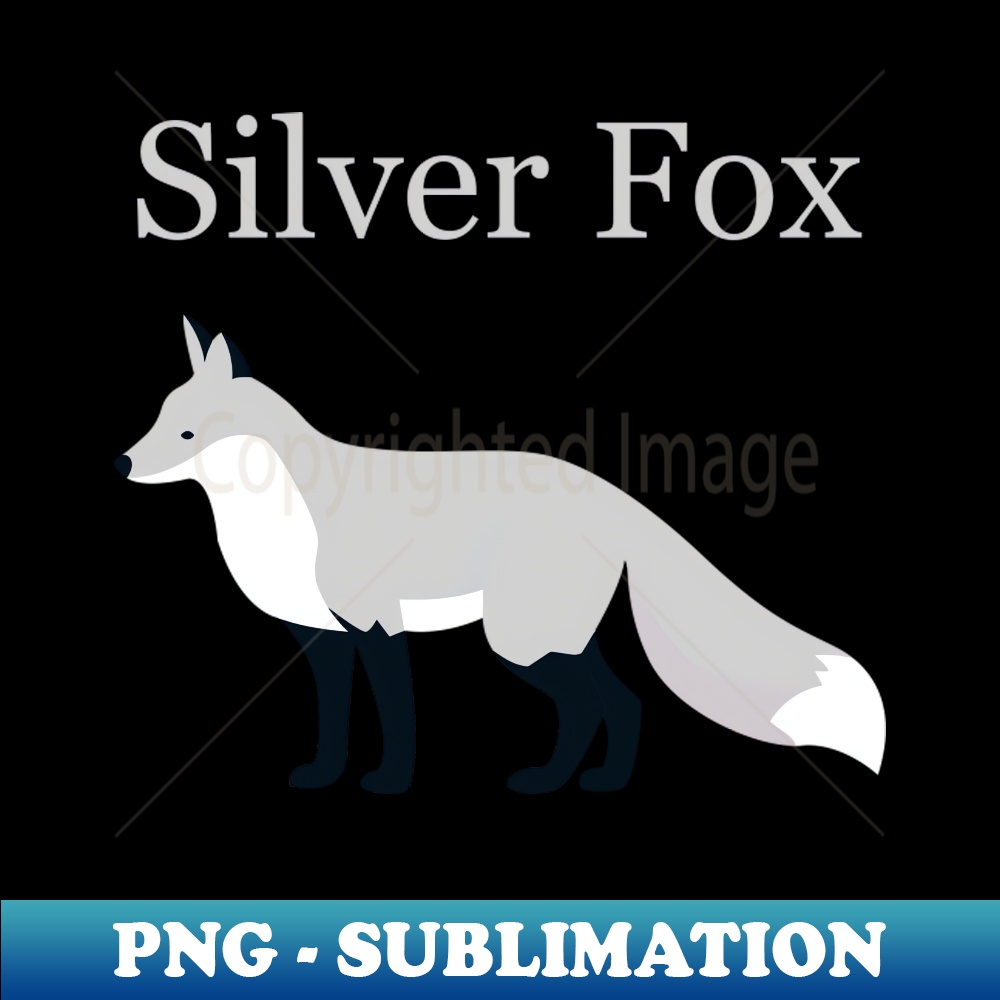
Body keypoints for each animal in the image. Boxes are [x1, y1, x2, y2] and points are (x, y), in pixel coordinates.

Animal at [115, 317, 885, 794]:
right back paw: (595, 782)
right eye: (156, 418)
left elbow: (398, 718)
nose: (121, 463)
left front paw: (390, 783)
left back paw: (553, 782)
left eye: (185, 433)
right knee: (624, 702)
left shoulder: (377, 627)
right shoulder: (320, 641)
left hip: (518, 643)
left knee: (594, 704)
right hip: (553, 638)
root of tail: (610, 492)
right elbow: (334, 721)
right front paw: (324, 776)